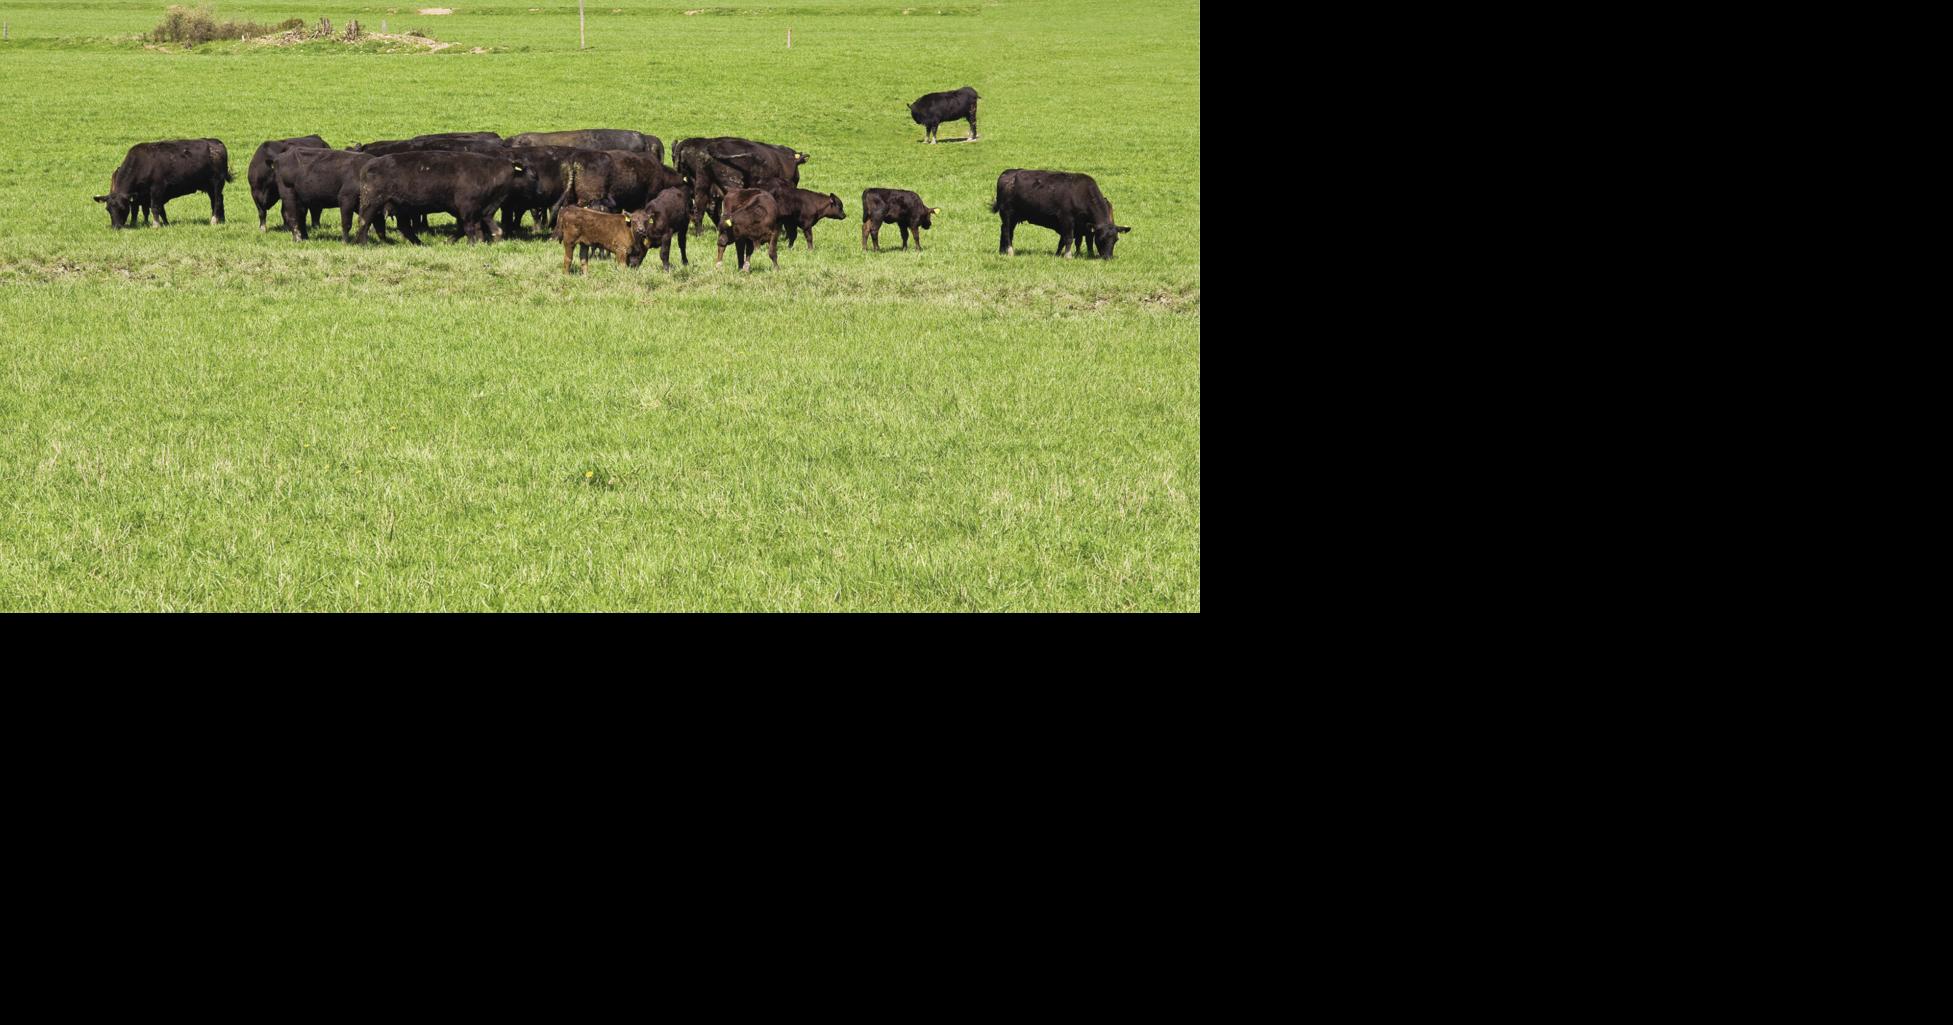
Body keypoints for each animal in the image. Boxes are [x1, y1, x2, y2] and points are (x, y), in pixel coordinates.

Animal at [94, 139, 230, 229]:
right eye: (108, 209)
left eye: (122, 208)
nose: (116, 227)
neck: (143, 163)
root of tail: (216, 142)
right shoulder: (140, 196)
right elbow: (138, 210)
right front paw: (136, 223)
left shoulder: (157, 189)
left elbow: (155, 207)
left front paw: (156, 225)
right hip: (209, 186)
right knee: (218, 200)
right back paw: (221, 220)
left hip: (217, 183)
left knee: (217, 200)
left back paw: (214, 220)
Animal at [353, 151, 535, 245]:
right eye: (531, 174)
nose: (536, 187)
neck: (489, 172)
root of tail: (369, 165)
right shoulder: (467, 209)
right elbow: (469, 227)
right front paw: (472, 243)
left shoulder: (479, 210)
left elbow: (472, 227)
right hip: (372, 203)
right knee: (364, 221)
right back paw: (363, 243)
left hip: (399, 207)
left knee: (403, 226)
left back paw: (419, 243)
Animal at [991, 169, 1130, 259]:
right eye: (1101, 239)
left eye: (1116, 239)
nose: (1108, 257)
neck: (1081, 194)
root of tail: (1007, 173)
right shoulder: (1067, 219)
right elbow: (1068, 238)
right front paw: (1068, 255)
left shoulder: (1084, 226)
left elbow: (1081, 240)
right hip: (1007, 213)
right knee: (1006, 230)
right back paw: (1009, 251)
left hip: (1014, 217)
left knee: (1006, 231)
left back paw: (1002, 251)